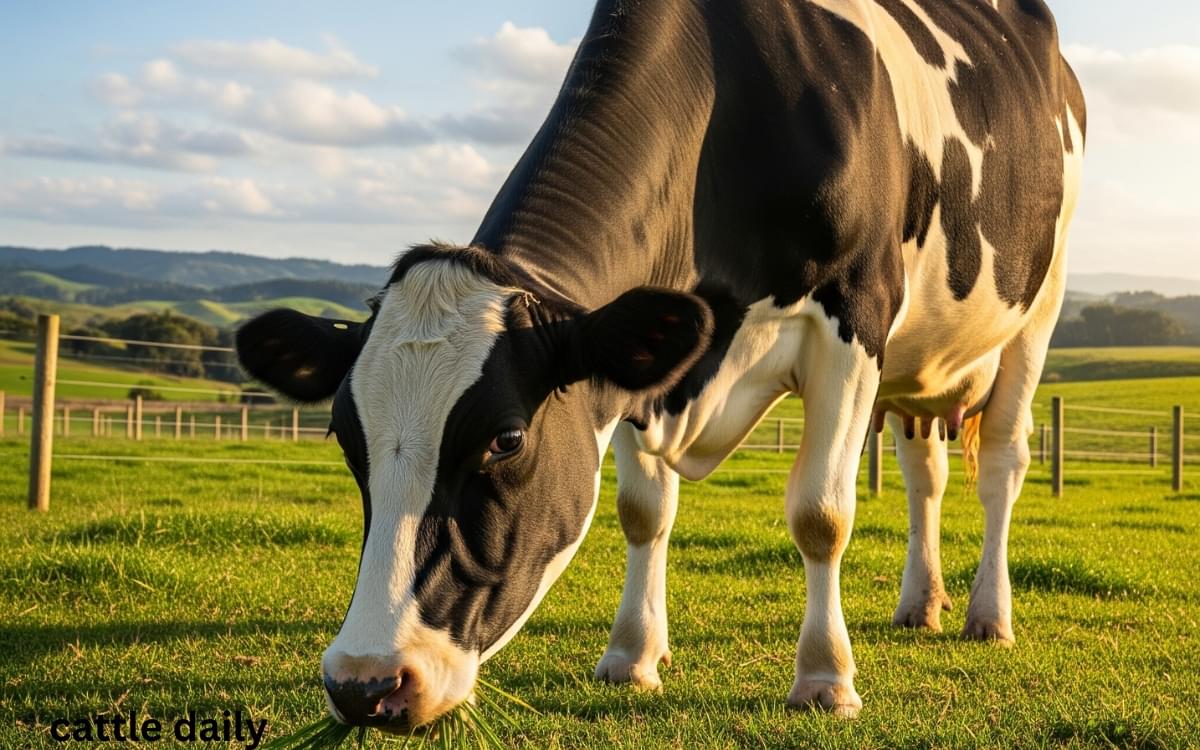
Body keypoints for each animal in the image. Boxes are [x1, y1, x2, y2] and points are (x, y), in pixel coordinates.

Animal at [236, 0, 1085, 728]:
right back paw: (920, 604)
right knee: (924, 475)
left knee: (1002, 462)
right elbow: (644, 510)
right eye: (346, 437)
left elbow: (821, 513)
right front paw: (633, 656)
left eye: (507, 439)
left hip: (1037, 310)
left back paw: (987, 614)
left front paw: (825, 679)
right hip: (919, 367)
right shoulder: (640, 365)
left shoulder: (856, 318)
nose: (365, 682)